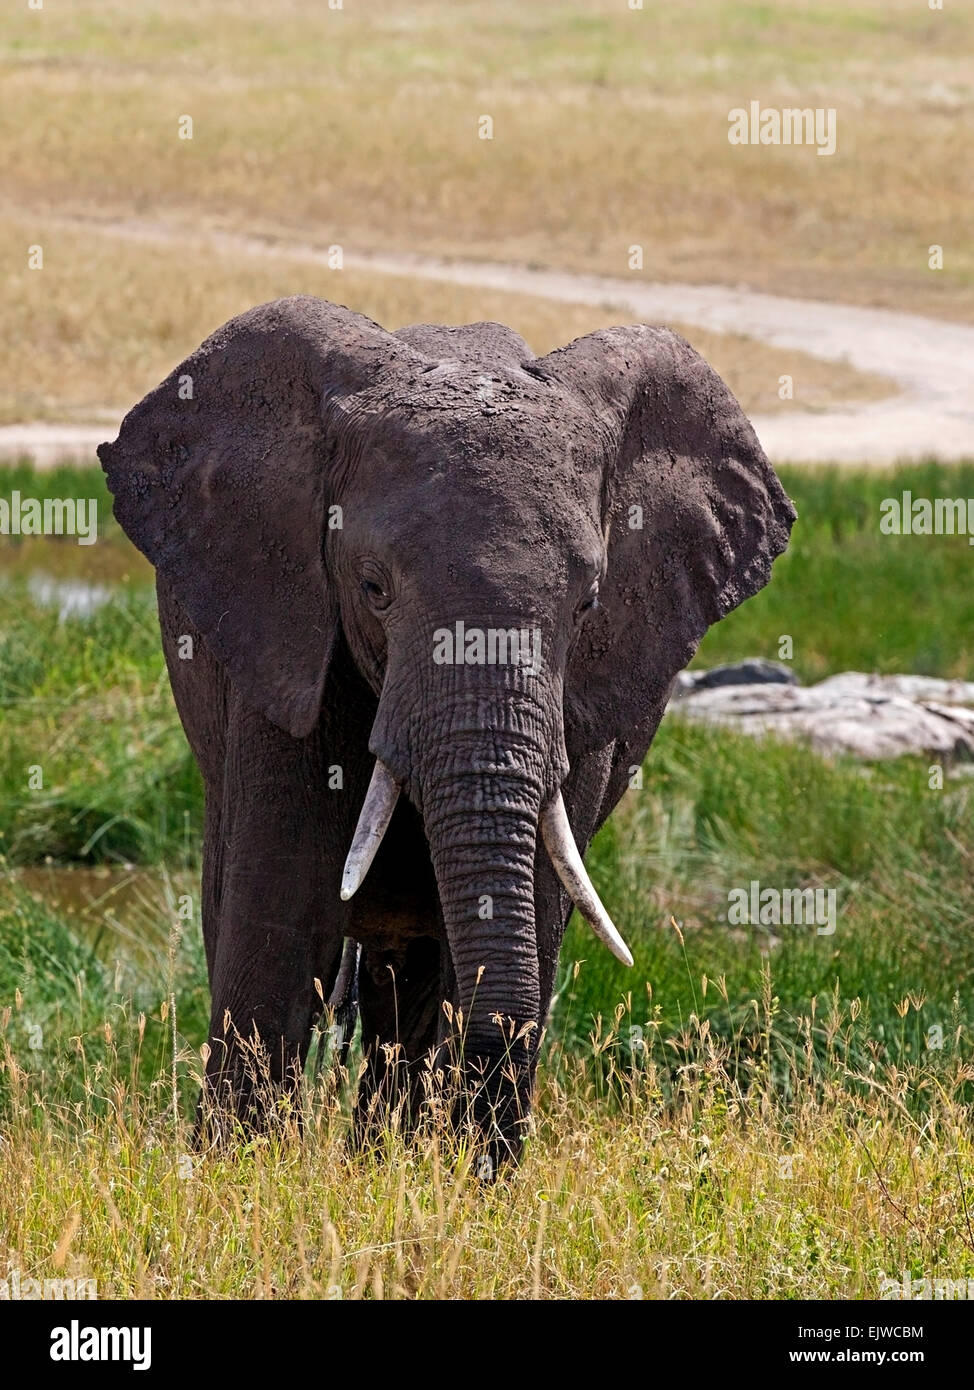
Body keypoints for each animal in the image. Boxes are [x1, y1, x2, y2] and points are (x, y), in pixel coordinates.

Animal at [98, 296, 795, 1171]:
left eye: (589, 604)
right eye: (373, 588)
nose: (485, 1160)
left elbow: (533, 909)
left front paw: (460, 1178)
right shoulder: (282, 633)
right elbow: (280, 924)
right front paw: (237, 1174)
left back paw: (381, 1155)